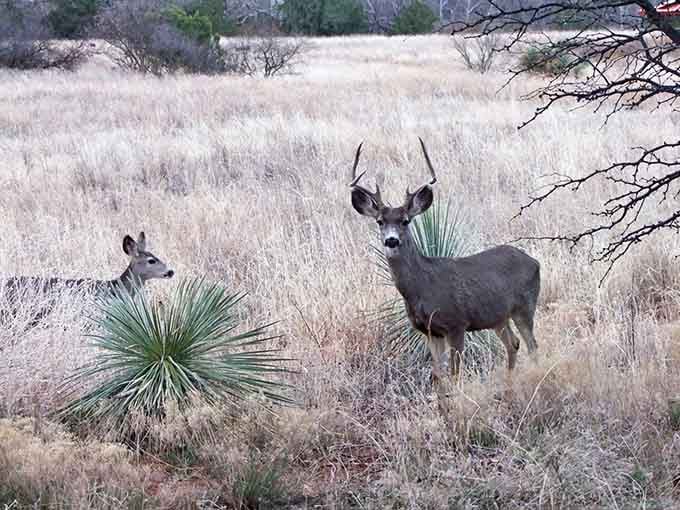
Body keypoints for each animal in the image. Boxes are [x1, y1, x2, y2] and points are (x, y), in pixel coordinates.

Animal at [349, 139, 540, 391]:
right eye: (380, 221)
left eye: (405, 221)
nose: (391, 240)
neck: (422, 287)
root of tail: (535, 261)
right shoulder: (430, 331)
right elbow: (438, 376)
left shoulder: (456, 323)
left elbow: (455, 373)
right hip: (498, 317)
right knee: (514, 343)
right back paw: (509, 384)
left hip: (525, 306)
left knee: (532, 345)